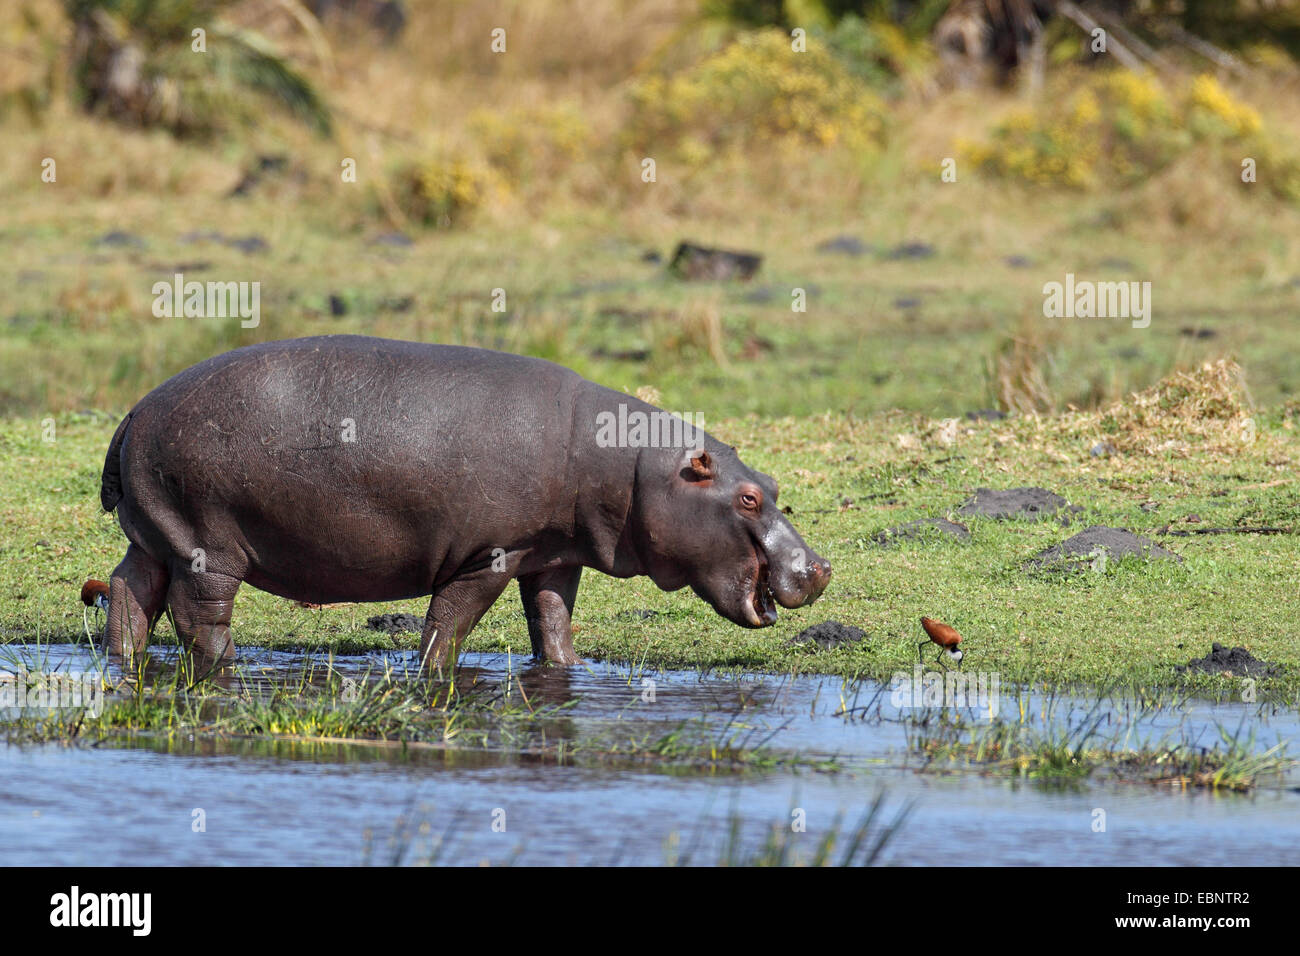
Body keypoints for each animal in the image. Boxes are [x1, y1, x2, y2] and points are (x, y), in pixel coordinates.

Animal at [98, 335, 831, 668]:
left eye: (772, 486)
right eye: (746, 498)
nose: (820, 567)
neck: (632, 469)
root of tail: (134, 410)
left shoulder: (553, 555)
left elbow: (552, 620)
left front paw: (567, 669)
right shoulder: (493, 553)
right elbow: (450, 621)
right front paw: (433, 672)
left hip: (156, 533)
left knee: (130, 590)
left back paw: (123, 661)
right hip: (208, 543)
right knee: (199, 615)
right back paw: (228, 666)